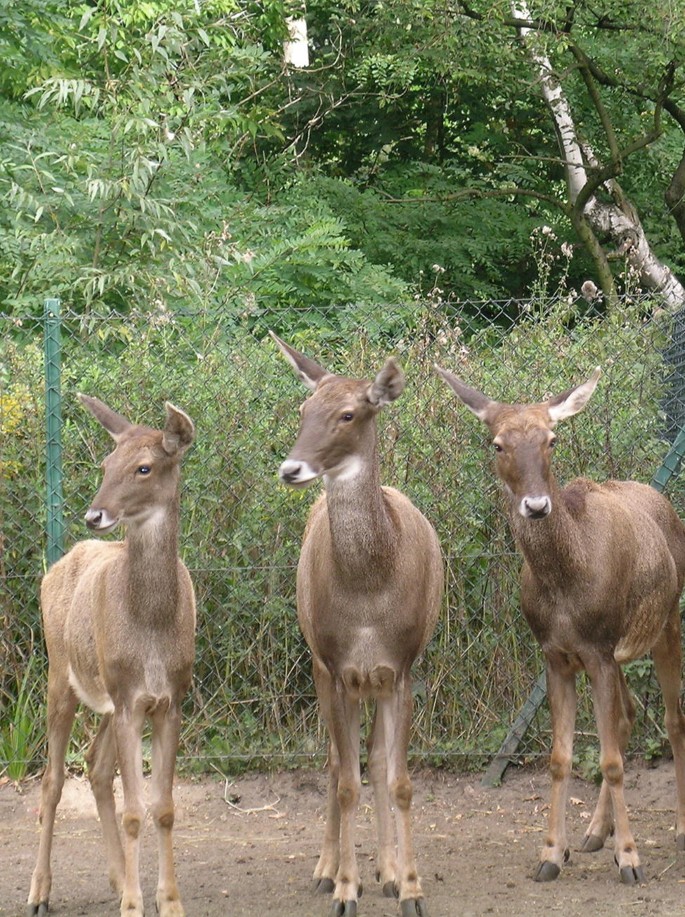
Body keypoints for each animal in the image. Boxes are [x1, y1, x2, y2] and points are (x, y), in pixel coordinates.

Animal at [27, 396, 196, 917]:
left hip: (104, 696)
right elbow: (135, 811)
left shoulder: (169, 700)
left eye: (144, 467)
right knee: (53, 780)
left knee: (96, 769)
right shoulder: (130, 700)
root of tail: (57, 564)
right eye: (105, 463)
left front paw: (169, 901)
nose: (94, 514)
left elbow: (164, 807)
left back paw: (119, 878)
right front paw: (135, 905)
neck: (153, 628)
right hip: (60, 675)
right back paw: (39, 892)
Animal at [271, 333, 444, 917]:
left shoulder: (402, 667)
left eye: (348, 414)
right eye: (303, 410)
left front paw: (410, 888)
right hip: (320, 666)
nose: (290, 469)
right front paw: (345, 889)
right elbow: (346, 782)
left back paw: (386, 870)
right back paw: (327, 870)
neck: (369, 597)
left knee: (373, 759)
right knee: (333, 764)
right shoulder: (336, 665)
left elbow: (399, 780)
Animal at [435, 363, 685, 886]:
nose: (535, 505)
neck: (566, 589)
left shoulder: (599, 648)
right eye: (497, 444)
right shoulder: (558, 653)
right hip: (619, 650)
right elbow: (559, 758)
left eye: (552, 439)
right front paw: (552, 852)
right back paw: (593, 834)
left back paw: (677, 830)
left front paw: (630, 859)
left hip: (667, 619)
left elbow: (609, 760)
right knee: (629, 717)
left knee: (674, 720)